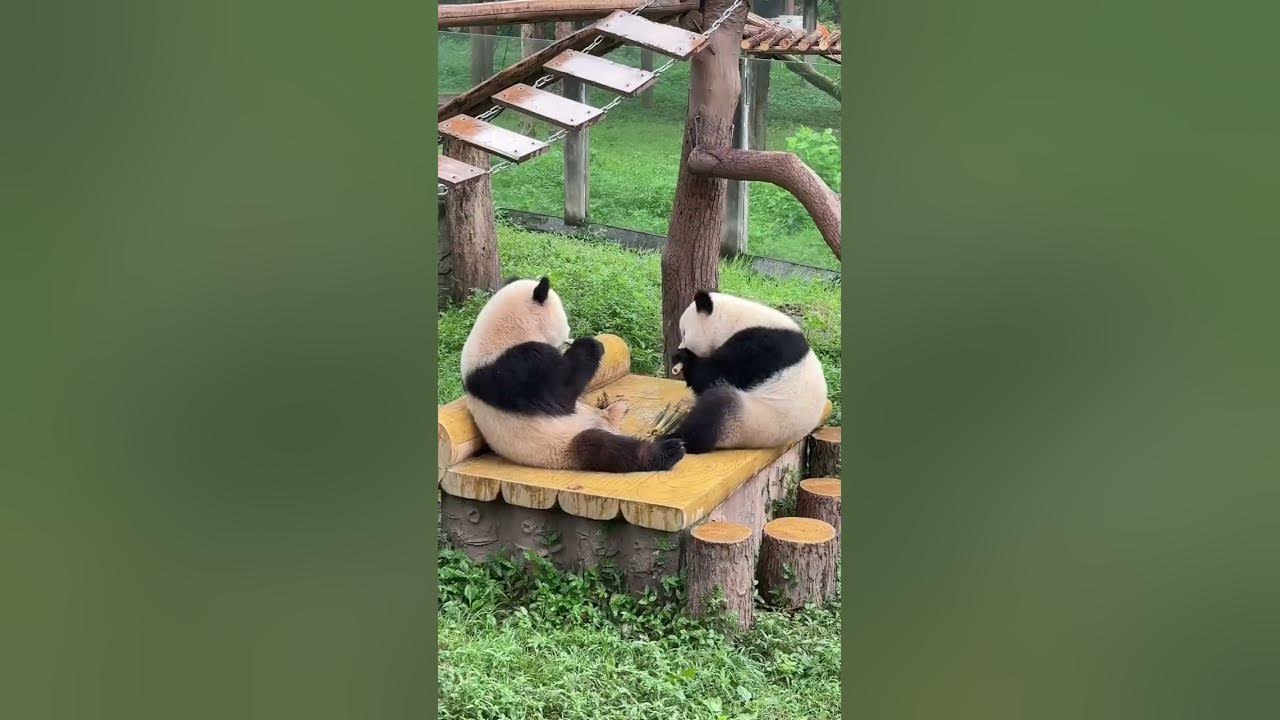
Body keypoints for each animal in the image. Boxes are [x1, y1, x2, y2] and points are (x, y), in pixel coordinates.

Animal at [461, 277, 686, 473]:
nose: (569, 331)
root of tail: (607, 424)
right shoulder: (520, 370)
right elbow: (562, 393)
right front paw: (591, 344)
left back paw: (618, 408)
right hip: (562, 444)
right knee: (605, 448)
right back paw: (668, 451)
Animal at [666, 290, 828, 453]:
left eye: (684, 333)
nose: (679, 347)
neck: (738, 320)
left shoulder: (759, 348)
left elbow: (714, 375)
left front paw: (683, 357)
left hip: (753, 421)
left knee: (715, 408)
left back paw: (676, 438)